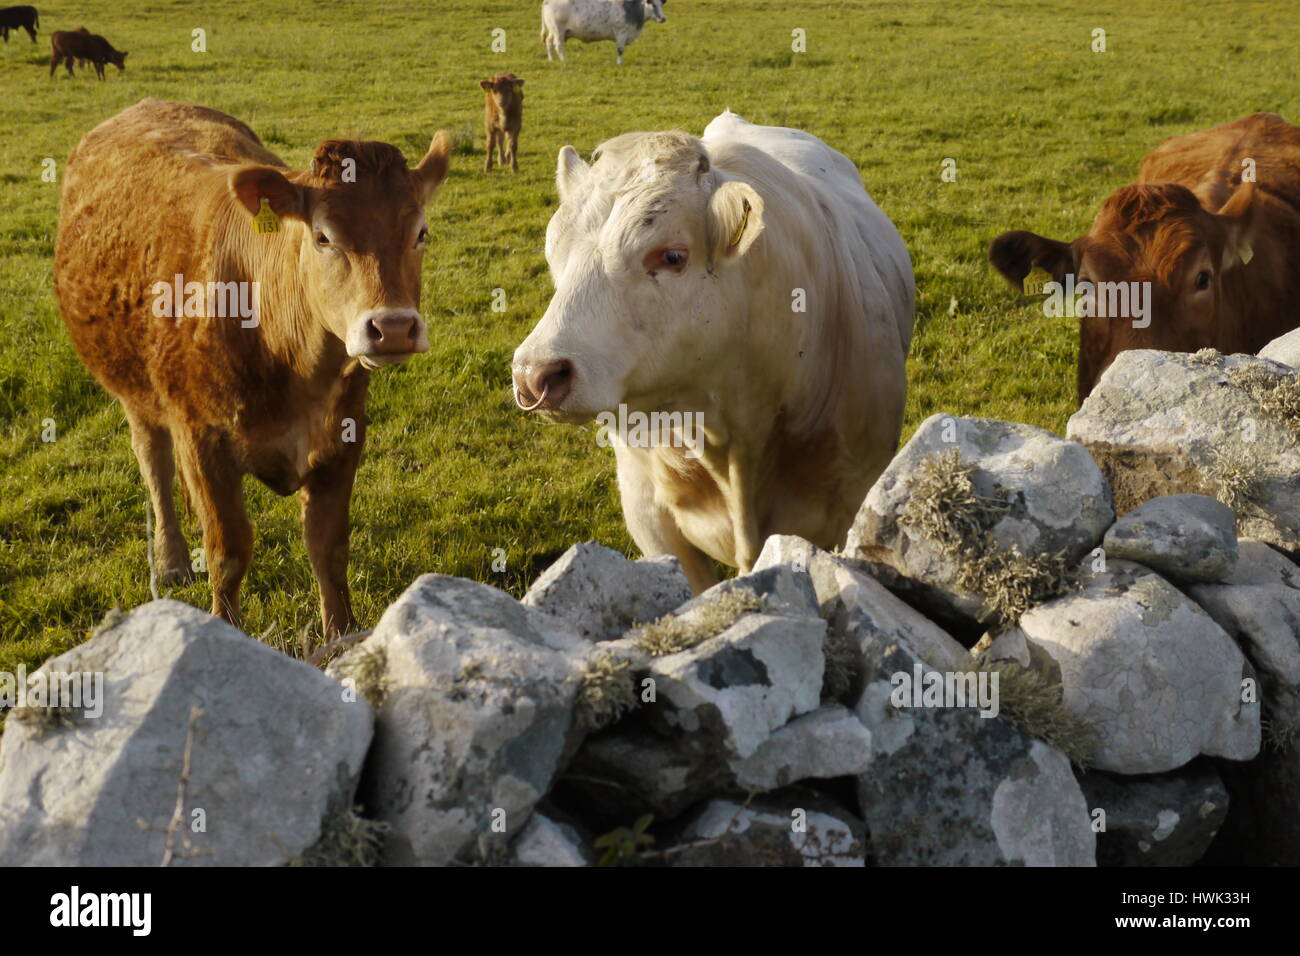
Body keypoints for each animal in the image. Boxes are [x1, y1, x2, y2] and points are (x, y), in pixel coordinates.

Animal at [54, 99, 451, 638]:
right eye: (323, 237)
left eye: (421, 233)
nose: (391, 327)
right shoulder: (203, 442)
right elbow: (228, 553)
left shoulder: (345, 437)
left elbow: (329, 549)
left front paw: (343, 638)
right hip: (132, 386)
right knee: (153, 459)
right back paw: (171, 559)